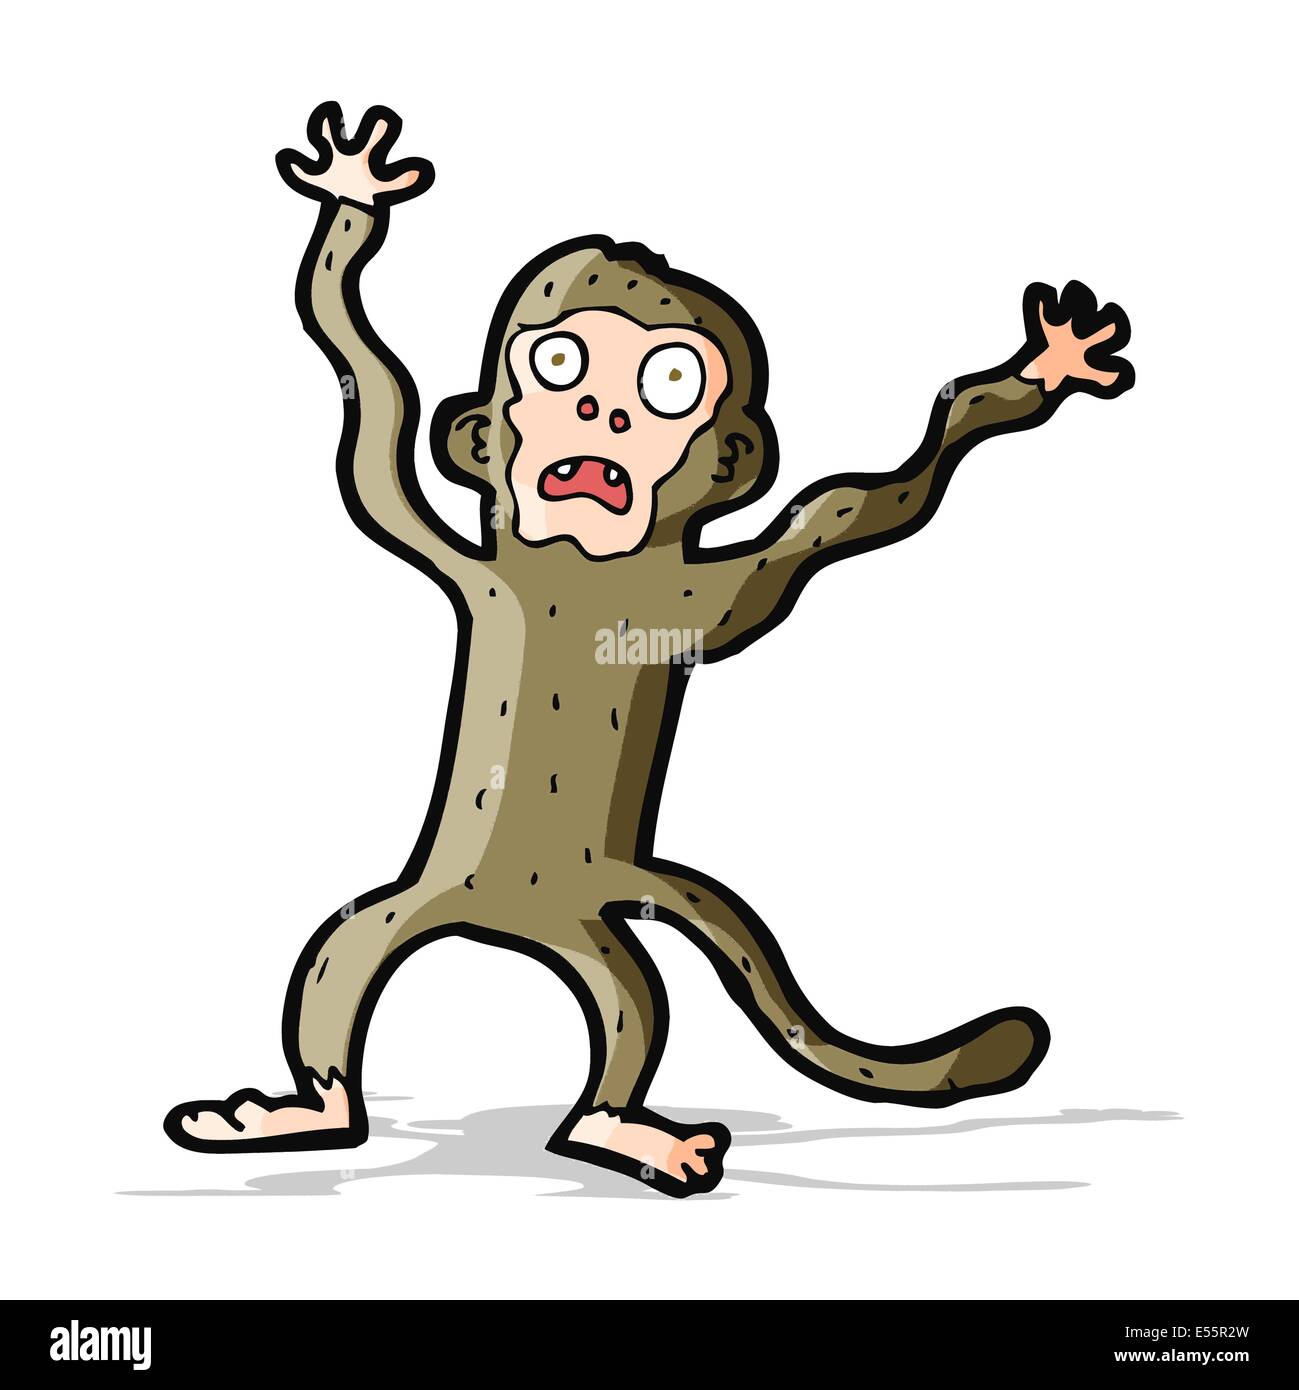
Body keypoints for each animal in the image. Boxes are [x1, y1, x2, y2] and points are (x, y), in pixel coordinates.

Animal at [165, 104, 1135, 1197]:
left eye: (672, 378)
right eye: (558, 364)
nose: (603, 410)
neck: (585, 569)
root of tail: (509, 919)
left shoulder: (730, 585)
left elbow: (874, 499)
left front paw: (1040, 372)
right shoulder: (466, 564)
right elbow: (370, 400)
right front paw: (352, 198)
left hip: (599, 945)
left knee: (632, 1015)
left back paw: (619, 1130)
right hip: (396, 912)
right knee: (339, 961)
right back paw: (306, 1110)